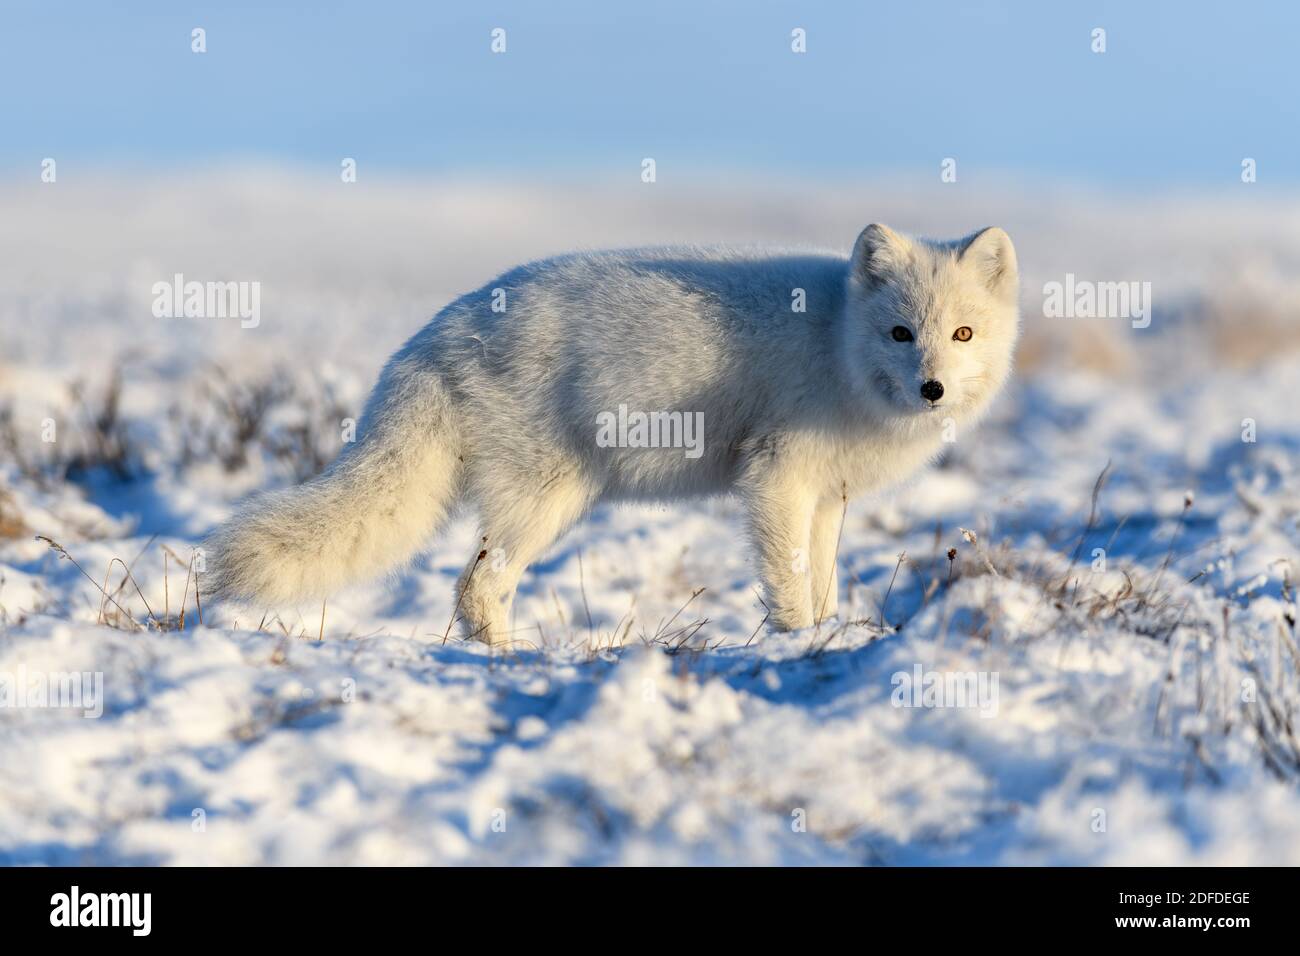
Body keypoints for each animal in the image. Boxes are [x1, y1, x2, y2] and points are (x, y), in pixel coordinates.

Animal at [203, 223, 1019, 644]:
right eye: (900, 332)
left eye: (962, 333)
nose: (932, 388)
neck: (836, 341)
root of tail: (437, 334)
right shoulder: (777, 479)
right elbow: (788, 583)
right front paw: (795, 643)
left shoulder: (824, 499)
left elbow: (820, 579)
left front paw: (827, 634)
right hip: (550, 499)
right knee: (477, 585)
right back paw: (508, 659)